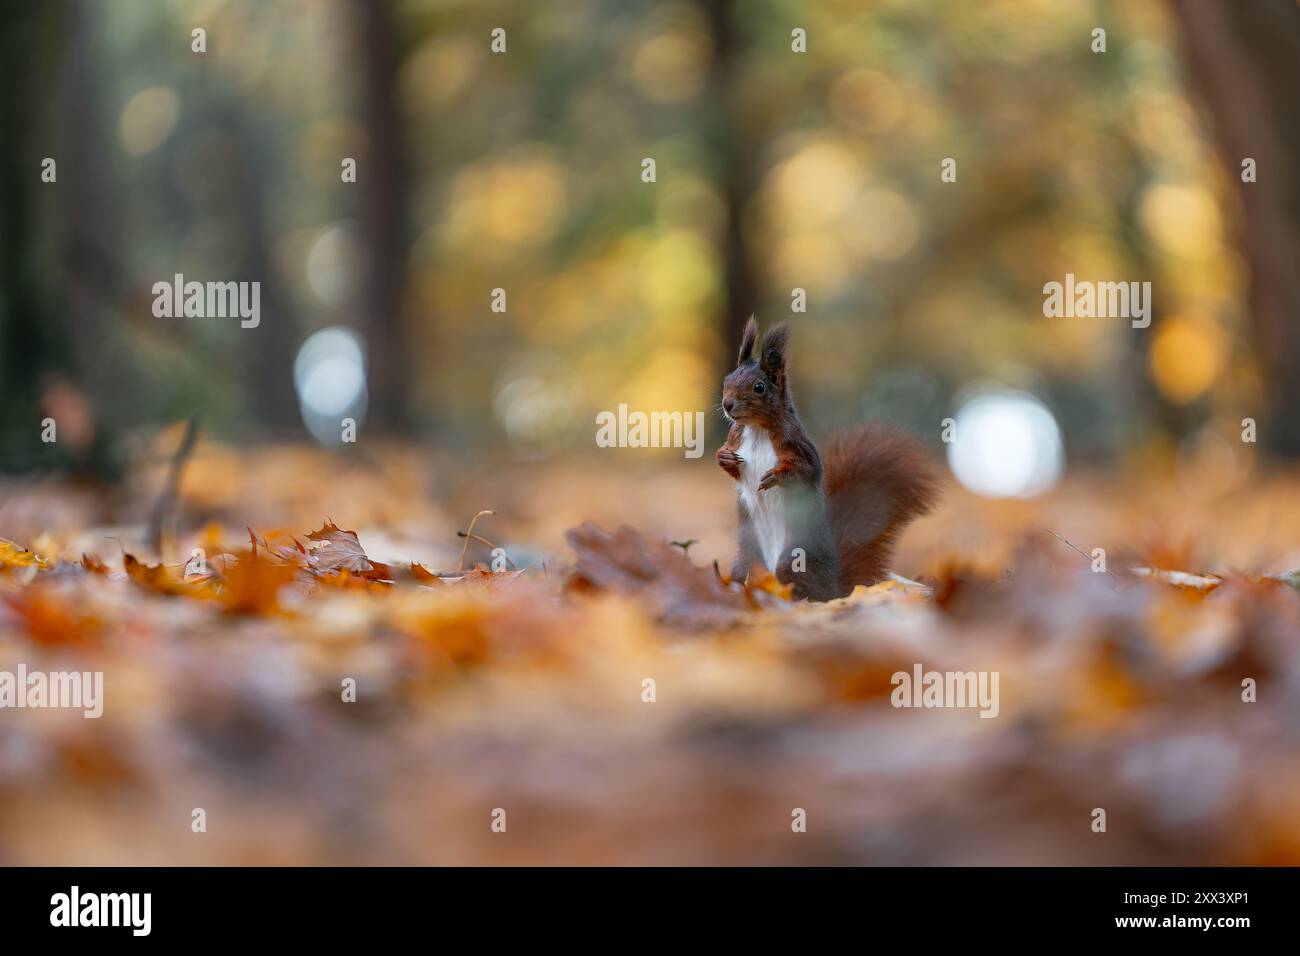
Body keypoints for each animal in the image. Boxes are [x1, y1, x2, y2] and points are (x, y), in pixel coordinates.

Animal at [716, 317, 940, 601]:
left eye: (759, 387)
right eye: (727, 379)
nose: (727, 404)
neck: (756, 429)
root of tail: (836, 587)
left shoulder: (797, 444)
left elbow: (806, 471)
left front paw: (775, 476)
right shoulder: (737, 439)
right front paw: (724, 456)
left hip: (795, 560)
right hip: (747, 558)